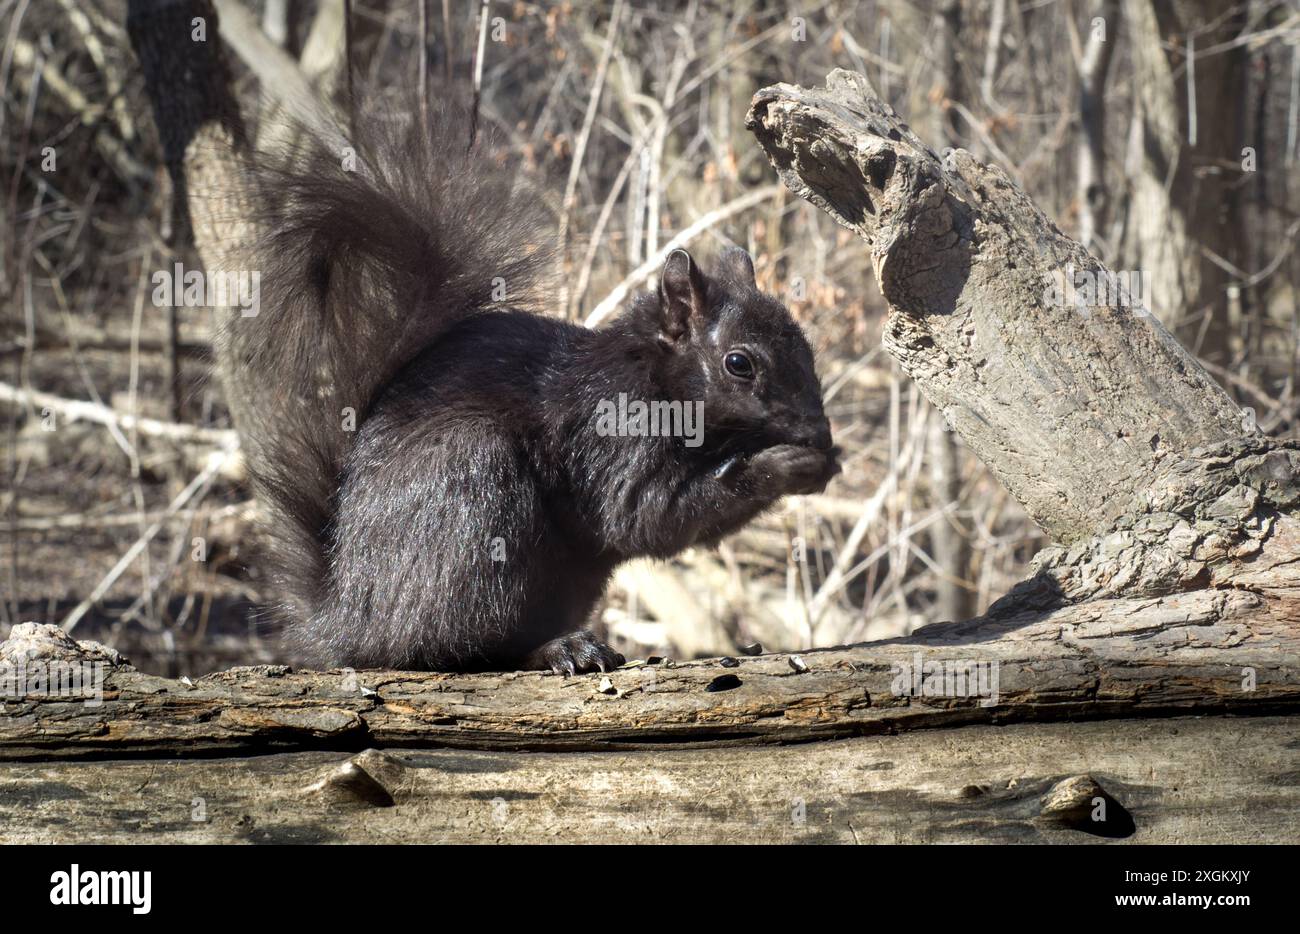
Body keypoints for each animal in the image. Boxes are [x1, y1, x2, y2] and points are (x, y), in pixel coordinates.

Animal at [219, 102, 840, 674]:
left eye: (808, 347)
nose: (819, 432)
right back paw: (556, 648)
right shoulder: (611, 434)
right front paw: (785, 464)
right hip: (471, 489)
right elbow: (642, 514)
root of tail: (347, 619)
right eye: (739, 364)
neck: (655, 377)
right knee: (448, 646)